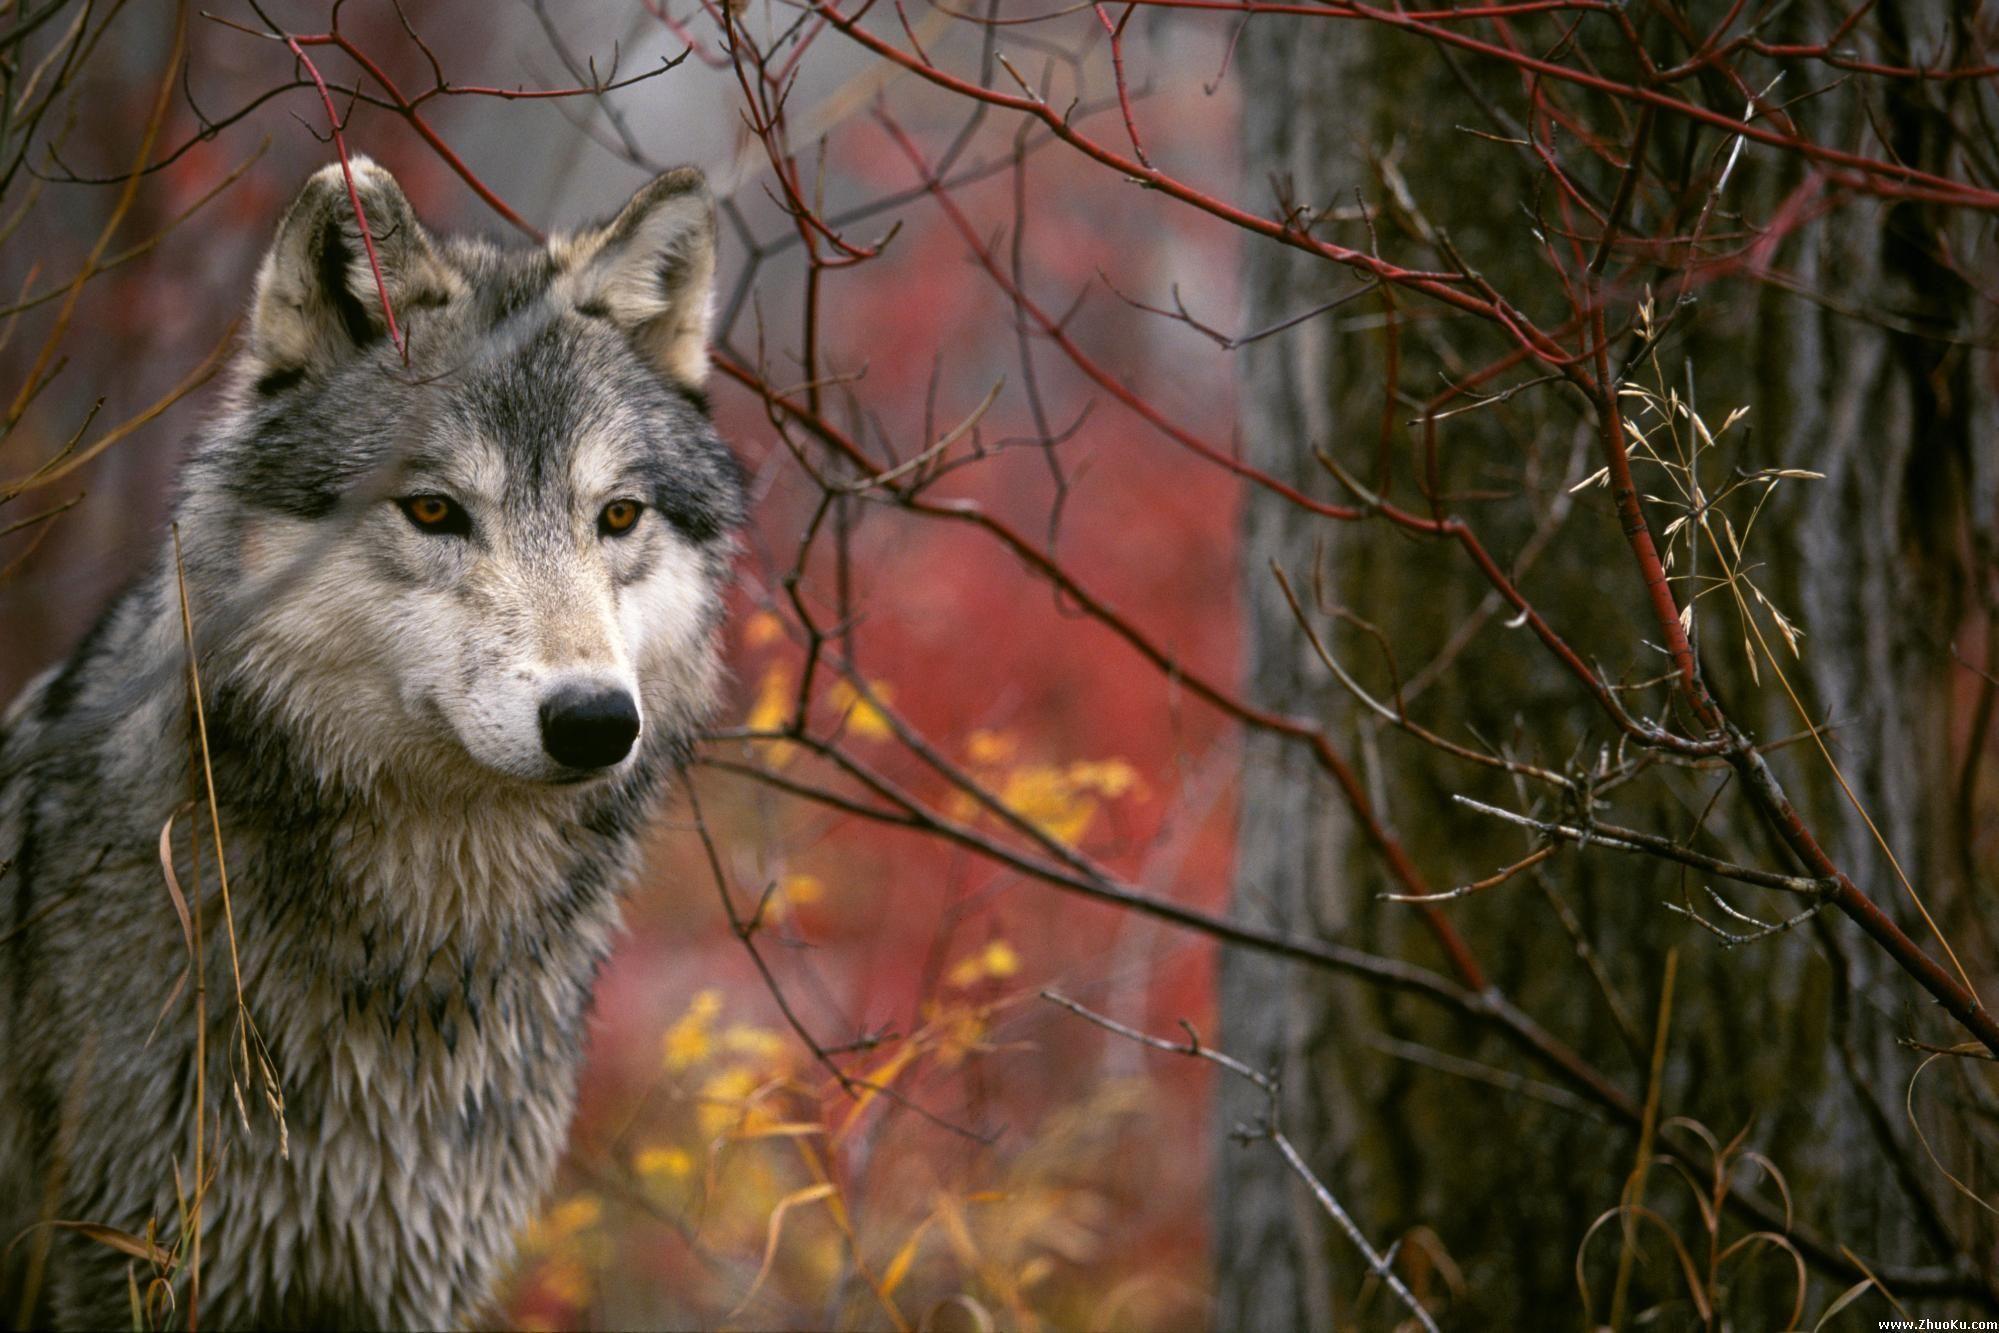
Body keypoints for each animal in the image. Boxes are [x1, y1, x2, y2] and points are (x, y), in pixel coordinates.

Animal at [0, 157, 743, 1329]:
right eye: (434, 510)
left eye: (618, 517)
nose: (593, 720)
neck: (413, 964)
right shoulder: (118, 1268)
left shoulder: (410, 1277)